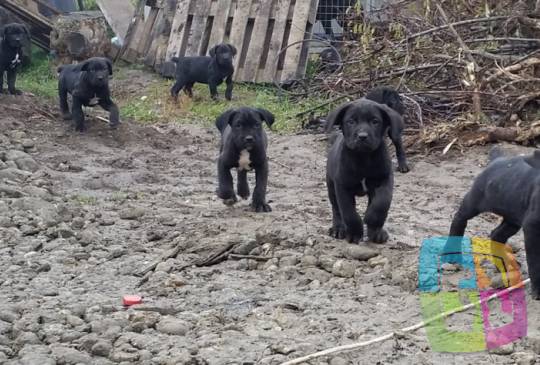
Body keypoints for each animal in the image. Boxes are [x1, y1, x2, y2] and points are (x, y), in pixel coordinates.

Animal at [324, 98, 404, 243]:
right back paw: (338, 228)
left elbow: (382, 203)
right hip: (331, 185)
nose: (362, 136)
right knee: (336, 209)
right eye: (351, 121)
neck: (363, 158)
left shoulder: (385, 179)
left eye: (375, 121)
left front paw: (372, 221)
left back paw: (376, 232)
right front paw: (355, 233)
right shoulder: (342, 186)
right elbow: (348, 212)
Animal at [450, 146, 540, 298]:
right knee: (459, 218)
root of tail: (496, 159)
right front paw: (537, 291)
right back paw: (453, 256)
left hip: (513, 218)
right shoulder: (531, 227)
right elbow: (535, 261)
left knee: (497, 235)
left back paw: (505, 265)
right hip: (475, 199)